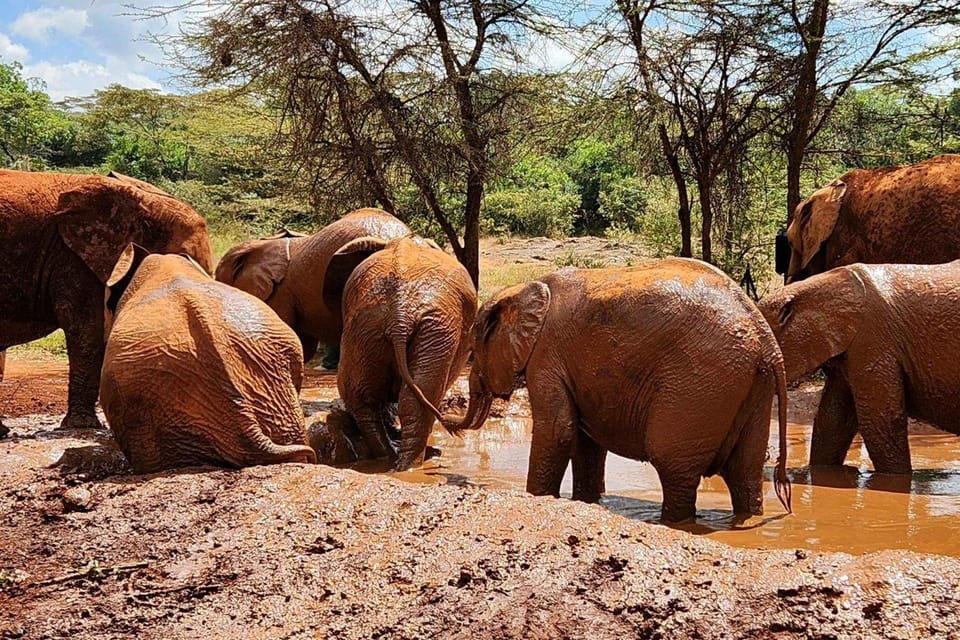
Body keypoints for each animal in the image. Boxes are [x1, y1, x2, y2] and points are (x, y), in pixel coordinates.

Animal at [331, 235, 477, 470]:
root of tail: (399, 315)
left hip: (365, 326)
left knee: (362, 399)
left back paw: (391, 459)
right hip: (437, 328)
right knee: (419, 397)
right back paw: (412, 464)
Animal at [443, 260, 791, 523]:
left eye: (473, 350)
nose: (449, 421)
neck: (527, 287)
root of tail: (767, 339)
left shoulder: (547, 355)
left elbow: (558, 430)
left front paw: (538, 498)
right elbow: (585, 442)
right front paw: (585, 501)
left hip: (701, 381)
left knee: (674, 465)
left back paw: (672, 522)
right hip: (751, 385)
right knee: (745, 471)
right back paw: (746, 518)